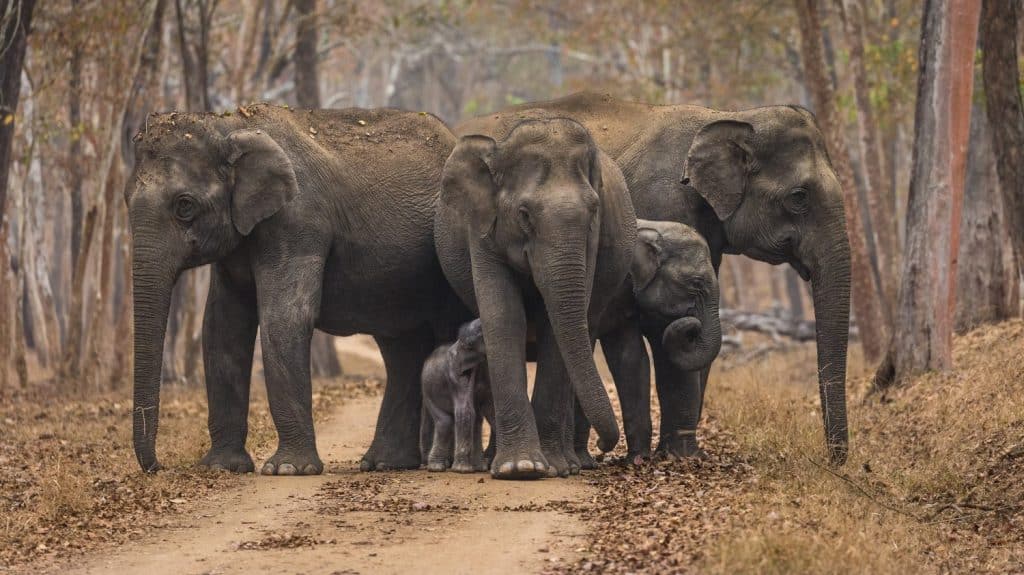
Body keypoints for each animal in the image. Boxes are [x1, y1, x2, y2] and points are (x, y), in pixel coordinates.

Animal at [124, 104, 470, 475]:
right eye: (126, 200)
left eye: (184, 205)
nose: (157, 467)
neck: (229, 124)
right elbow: (222, 328)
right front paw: (221, 467)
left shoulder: (297, 220)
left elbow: (284, 319)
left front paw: (288, 469)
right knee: (402, 350)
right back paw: (385, 463)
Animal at [421, 318, 493, 473]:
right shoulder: (454, 373)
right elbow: (465, 410)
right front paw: (463, 470)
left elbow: (488, 407)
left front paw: (479, 468)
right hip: (428, 392)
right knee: (445, 422)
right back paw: (436, 467)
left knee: (475, 421)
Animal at [435, 117, 637, 479]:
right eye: (524, 214)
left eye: (594, 211)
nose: (605, 446)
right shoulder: (481, 231)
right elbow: (504, 318)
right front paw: (520, 468)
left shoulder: (592, 245)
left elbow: (556, 326)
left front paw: (551, 467)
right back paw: (496, 460)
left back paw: (572, 463)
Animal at [458, 92, 852, 465]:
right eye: (799, 196)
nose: (834, 460)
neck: (730, 117)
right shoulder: (662, 199)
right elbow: (664, 329)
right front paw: (678, 455)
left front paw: (682, 452)